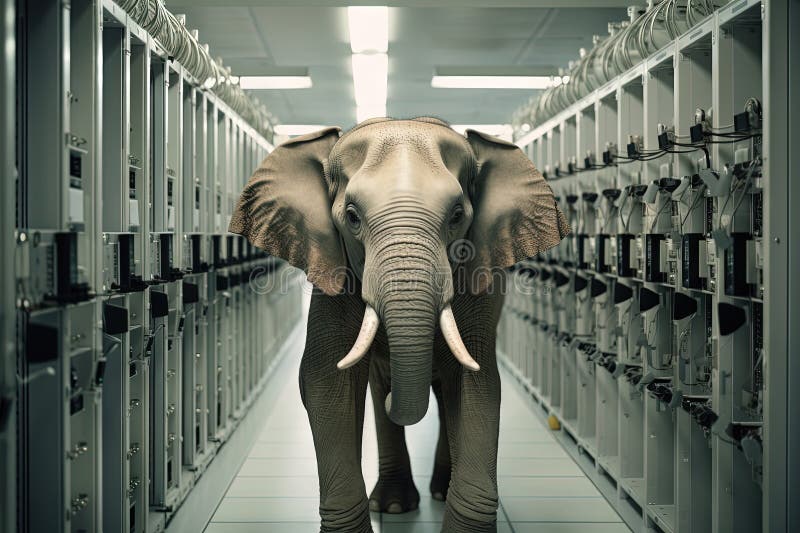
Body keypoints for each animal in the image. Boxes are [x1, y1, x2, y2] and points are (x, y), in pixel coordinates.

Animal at [229, 117, 569, 532]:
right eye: (352, 217)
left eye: (457, 215)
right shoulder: (335, 277)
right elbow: (326, 381)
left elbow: (477, 384)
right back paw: (391, 505)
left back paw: (435, 490)